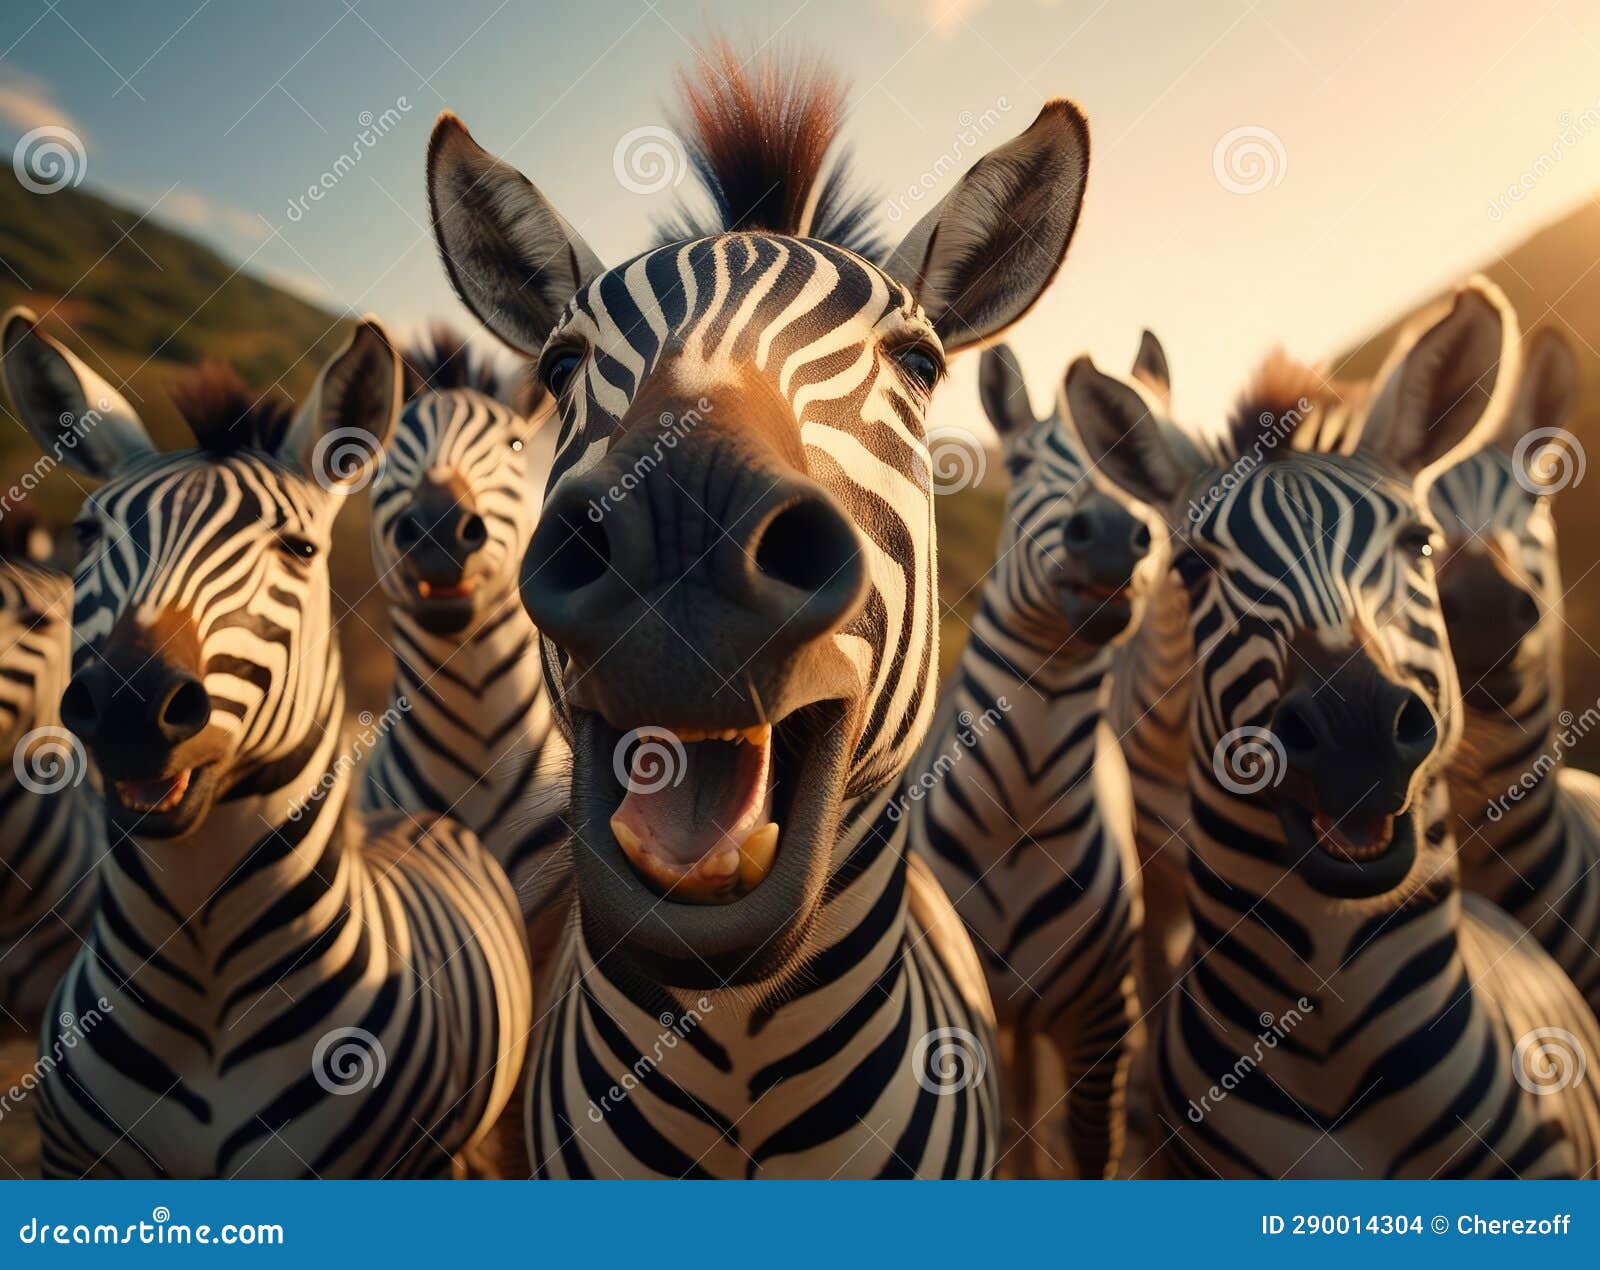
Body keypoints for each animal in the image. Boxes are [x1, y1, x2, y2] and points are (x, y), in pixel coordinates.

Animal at [908, 341, 1149, 1178]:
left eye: (1143, 463)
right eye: (1022, 461)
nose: (1109, 533)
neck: (1020, 805)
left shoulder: (1104, 1018)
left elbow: (1092, 1149)